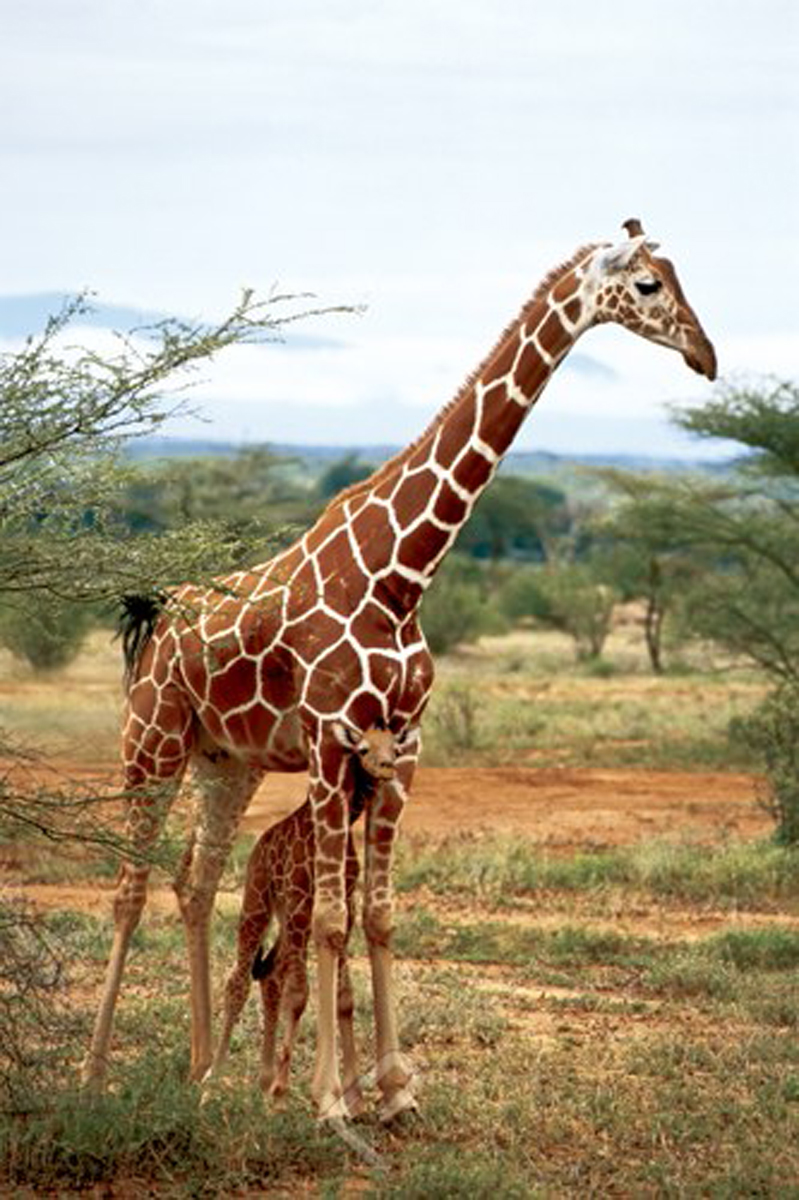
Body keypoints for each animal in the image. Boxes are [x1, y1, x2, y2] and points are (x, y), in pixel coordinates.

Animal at [206, 720, 419, 1114]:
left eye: (394, 749)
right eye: (363, 749)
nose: (386, 768)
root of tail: (259, 844)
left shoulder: (342, 906)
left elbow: (344, 997)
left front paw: (352, 1100)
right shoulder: (300, 900)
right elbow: (299, 994)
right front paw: (283, 1093)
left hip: (286, 919)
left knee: (269, 975)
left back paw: (261, 1080)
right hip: (259, 901)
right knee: (239, 979)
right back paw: (212, 1081)